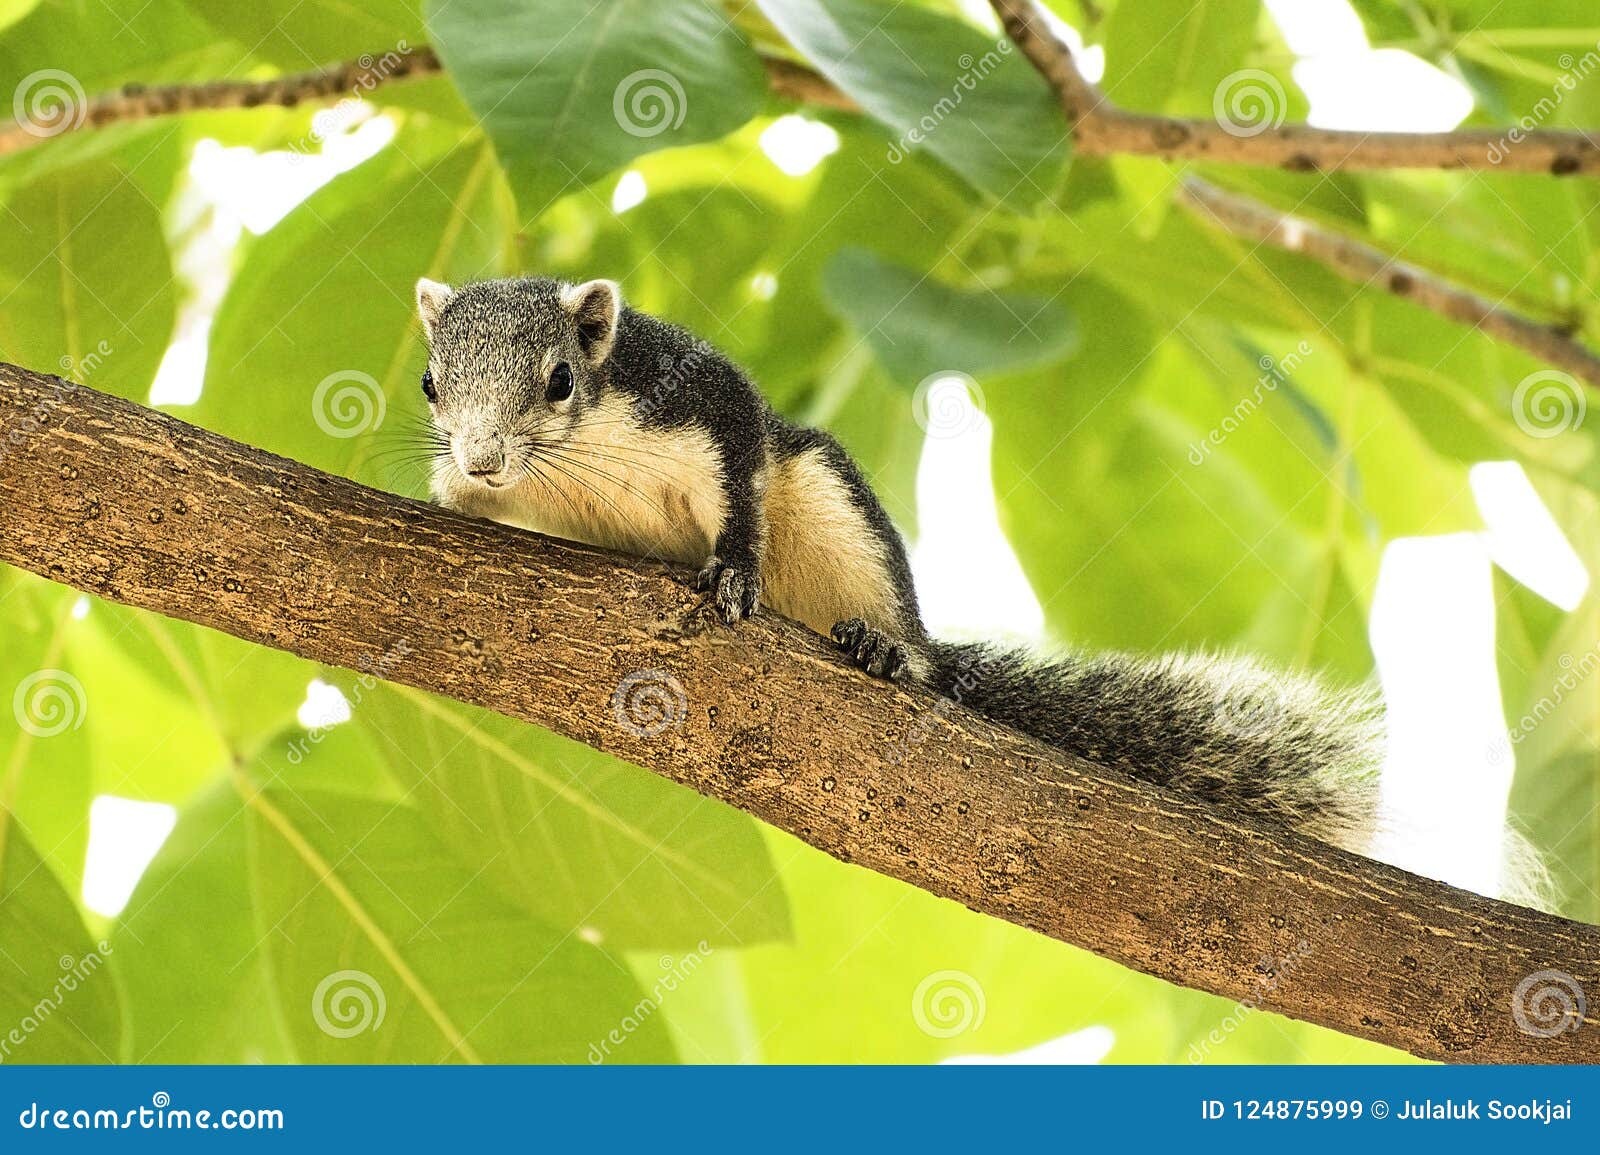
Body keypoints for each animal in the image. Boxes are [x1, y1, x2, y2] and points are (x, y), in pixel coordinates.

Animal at [414, 274, 1388, 854]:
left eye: (559, 381)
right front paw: (447, 495)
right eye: (430, 384)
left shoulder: (702, 403)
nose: (482, 460)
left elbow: (742, 482)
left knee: (909, 647)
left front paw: (734, 569)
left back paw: (887, 649)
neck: (570, 461)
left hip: (839, 515)